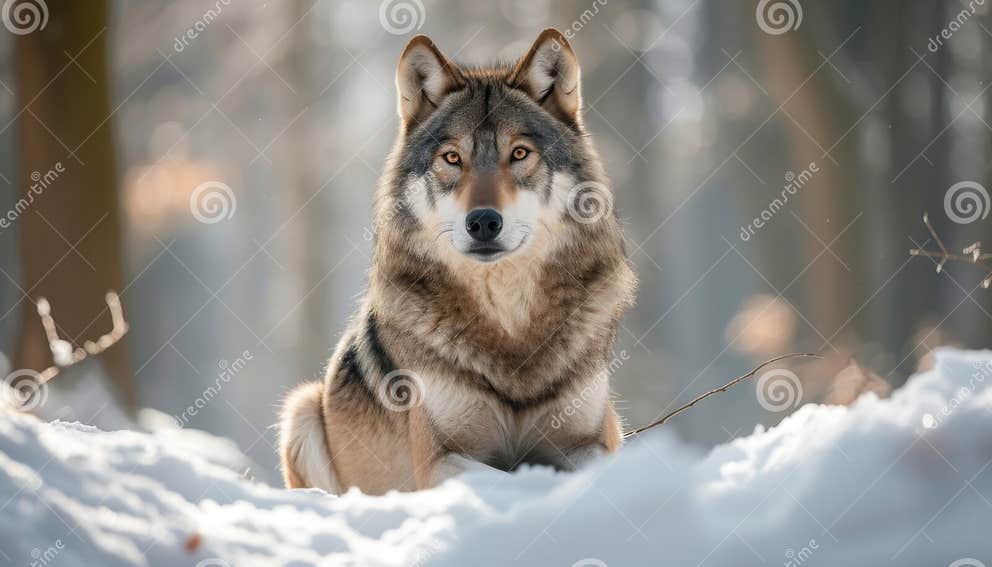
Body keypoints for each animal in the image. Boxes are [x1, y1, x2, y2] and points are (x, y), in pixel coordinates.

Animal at [279, 28, 636, 494]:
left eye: (519, 154)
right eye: (452, 158)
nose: (483, 221)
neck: (508, 320)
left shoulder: (593, 441)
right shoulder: (440, 458)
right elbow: (507, 476)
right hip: (300, 408)